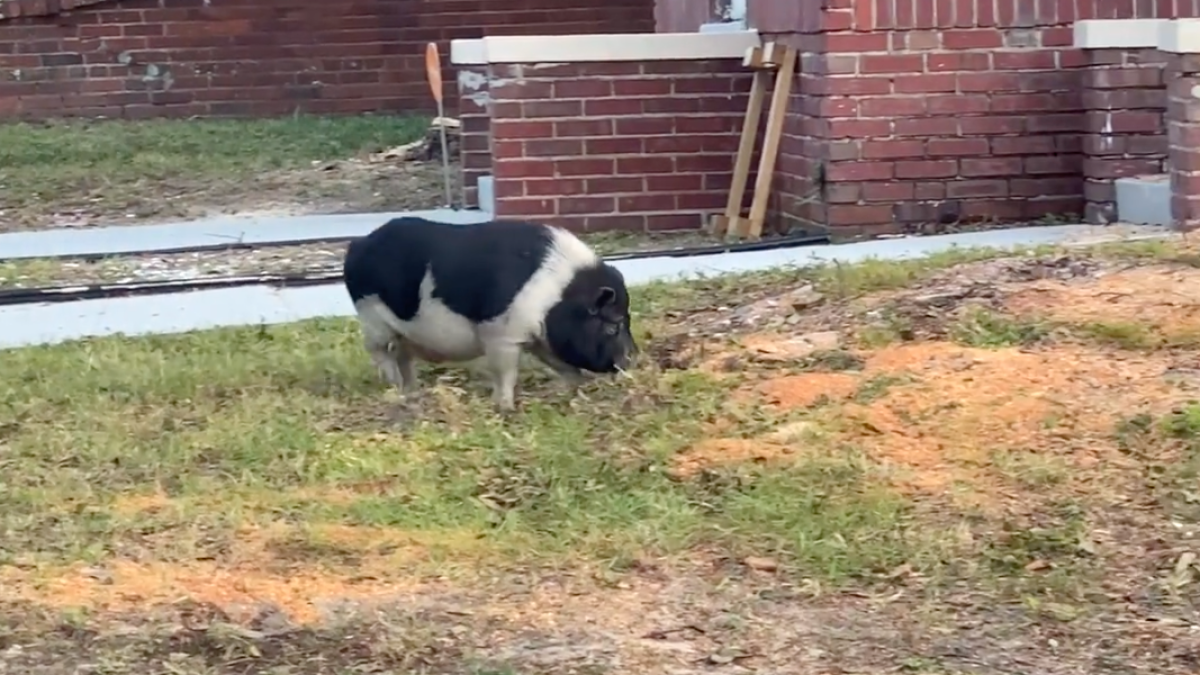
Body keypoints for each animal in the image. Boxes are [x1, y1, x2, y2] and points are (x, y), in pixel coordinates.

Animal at [342, 216, 638, 411]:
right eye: (612, 325)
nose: (633, 357)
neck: (558, 294)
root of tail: (357, 245)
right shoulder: (500, 333)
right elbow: (505, 372)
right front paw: (506, 408)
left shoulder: (538, 338)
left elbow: (564, 366)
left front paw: (575, 391)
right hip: (371, 318)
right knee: (380, 353)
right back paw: (394, 389)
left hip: (401, 332)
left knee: (404, 357)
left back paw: (412, 390)